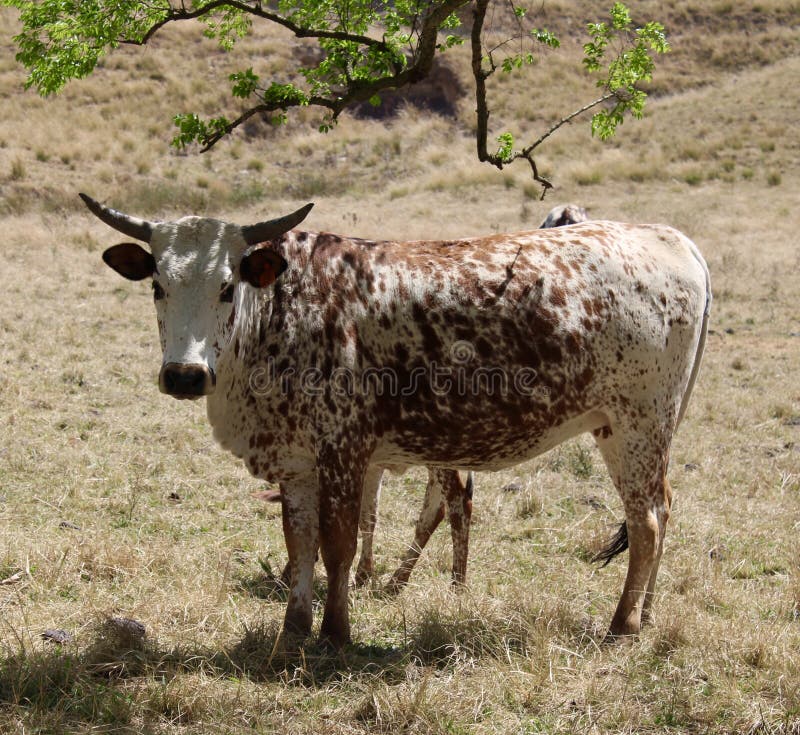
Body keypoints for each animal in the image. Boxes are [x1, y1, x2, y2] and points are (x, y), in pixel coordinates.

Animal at [82, 192, 711, 647]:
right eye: (158, 286)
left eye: (226, 286)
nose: (185, 375)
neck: (284, 308)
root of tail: (667, 237)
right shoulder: (296, 459)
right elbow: (299, 543)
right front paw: (293, 629)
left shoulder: (344, 450)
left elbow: (338, 543)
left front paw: (336, 633)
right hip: (630, 430)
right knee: (664, 509)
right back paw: (648, 614)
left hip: (636, 426)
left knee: (646, 522)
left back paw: (623, 624)